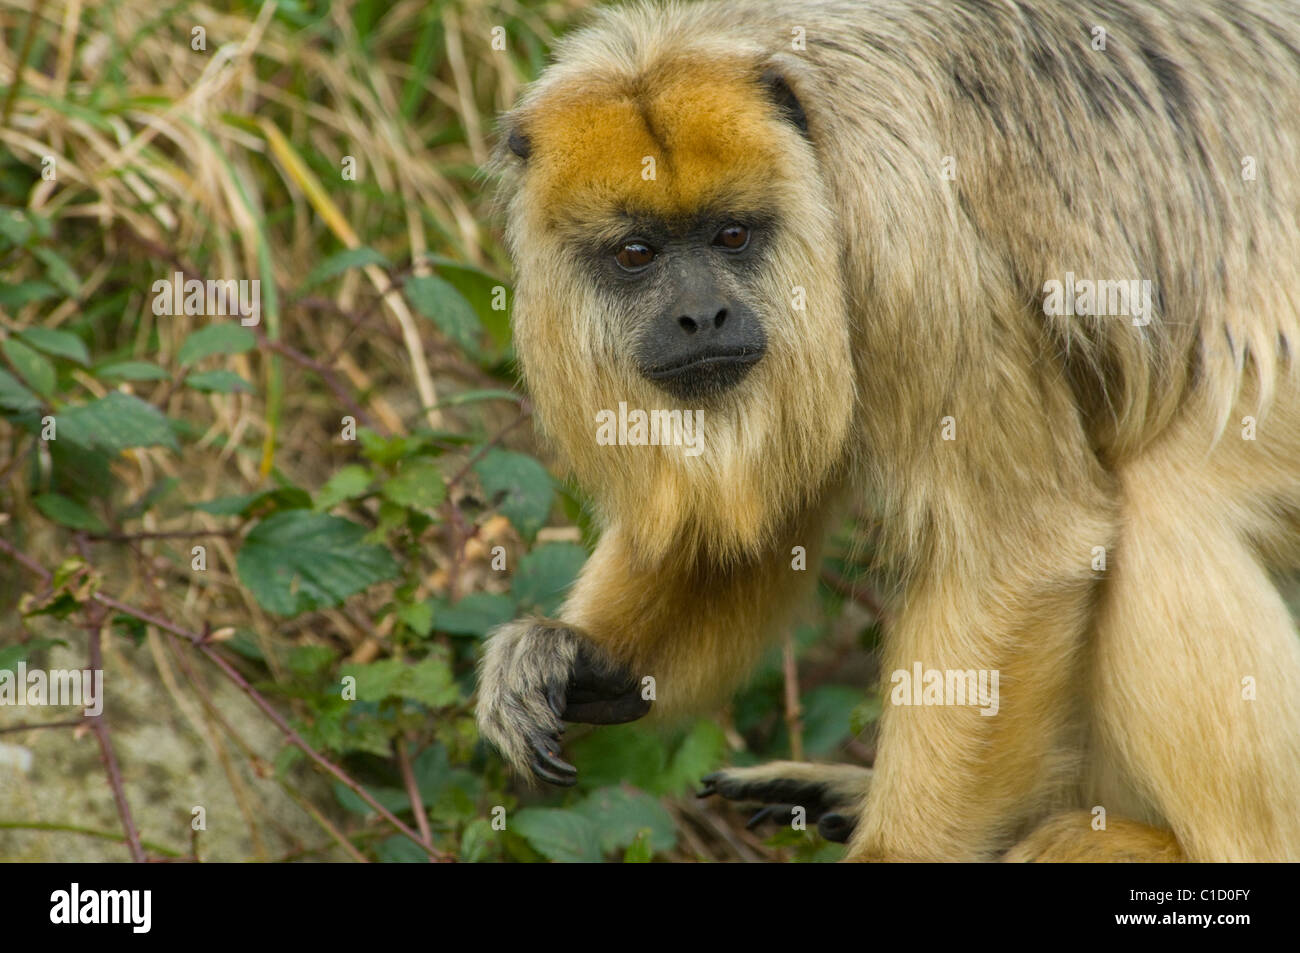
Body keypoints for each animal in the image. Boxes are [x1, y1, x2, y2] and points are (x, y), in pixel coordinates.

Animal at [476, 0, 1300, 861]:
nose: (703, 315)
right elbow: (743, 529)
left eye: (733, 235)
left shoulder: (907, 239)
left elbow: (1025, 549)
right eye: (636, 253)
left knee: (1164, 507)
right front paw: (581, 660)